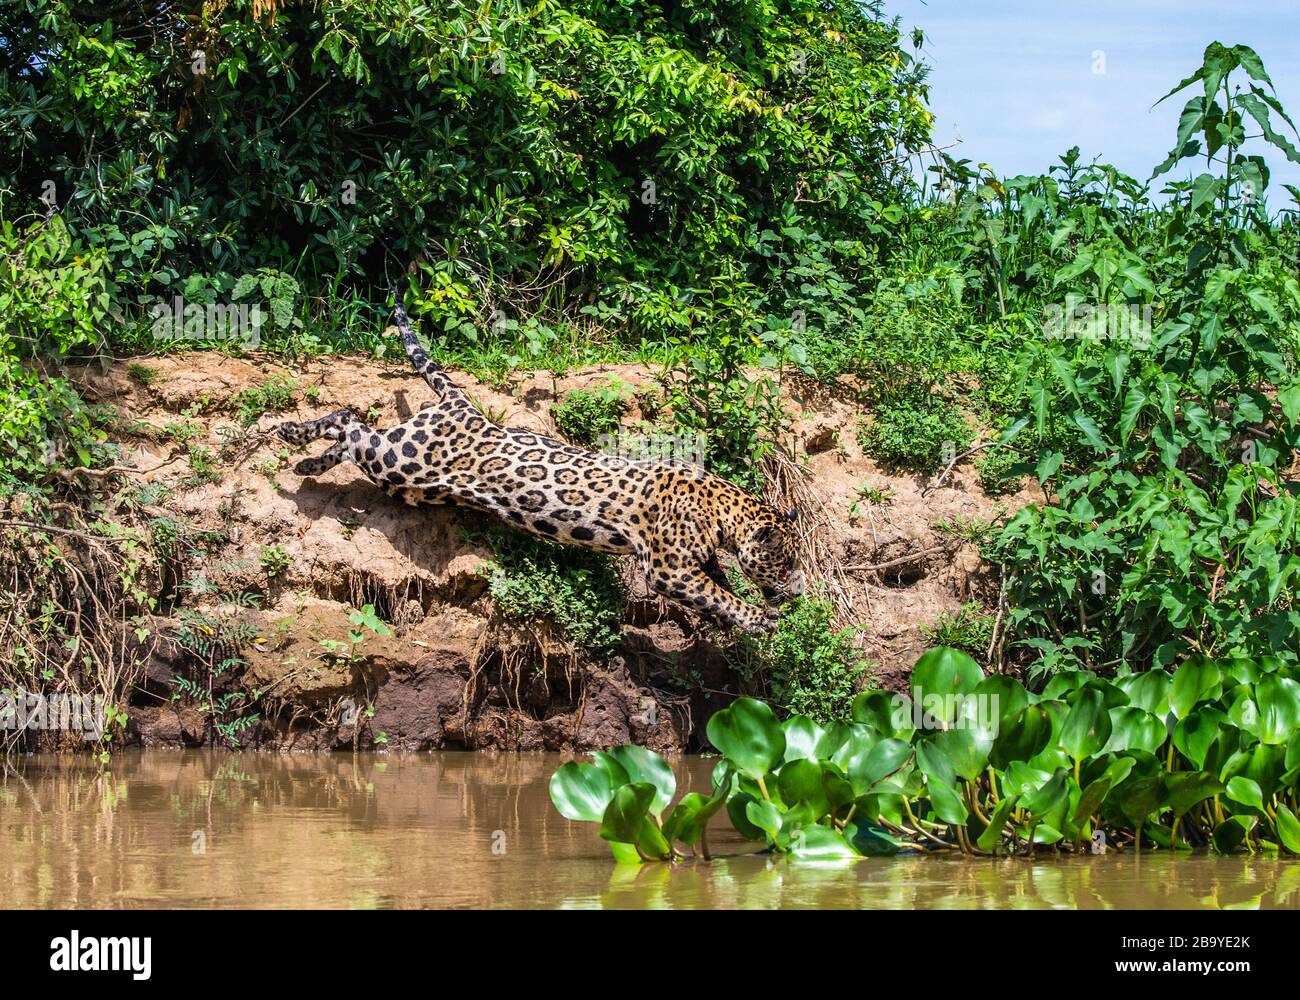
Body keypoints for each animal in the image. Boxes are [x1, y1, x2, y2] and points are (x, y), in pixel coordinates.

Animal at [276, 294, 805, 634]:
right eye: (787, 560)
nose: (801, 594)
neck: (723, 514)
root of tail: (465, 405)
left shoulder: (697, 562)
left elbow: (720, 587)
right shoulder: (669, 569)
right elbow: (722, 594)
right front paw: (759, 619)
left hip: (413, 483)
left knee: (353, 431)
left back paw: (308, 463)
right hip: (402, 461)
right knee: (349, 422)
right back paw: (292, 438)